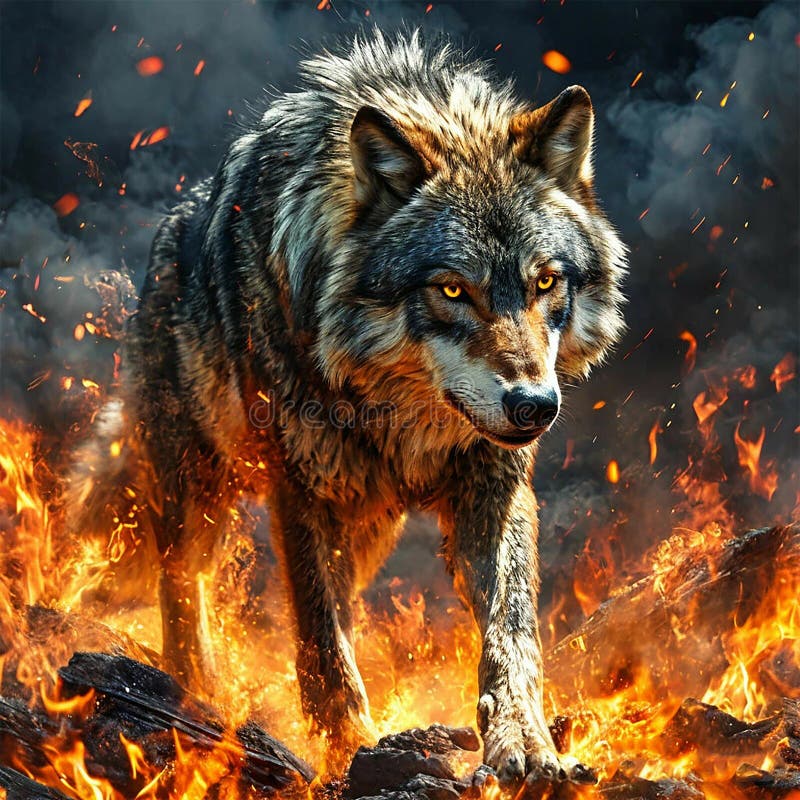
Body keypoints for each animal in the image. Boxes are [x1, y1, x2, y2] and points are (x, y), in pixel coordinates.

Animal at [67, 31, 626, 783]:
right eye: (452, 290)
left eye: (545, 282)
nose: (534, 405)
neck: (402, 415)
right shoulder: (301, 495)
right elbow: (320, 640)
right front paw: (350, 749)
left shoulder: (495, 488)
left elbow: (510, 634)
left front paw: (525, 744)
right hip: (198, 493)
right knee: (183, 586)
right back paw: (196, 695)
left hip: (365, 529)